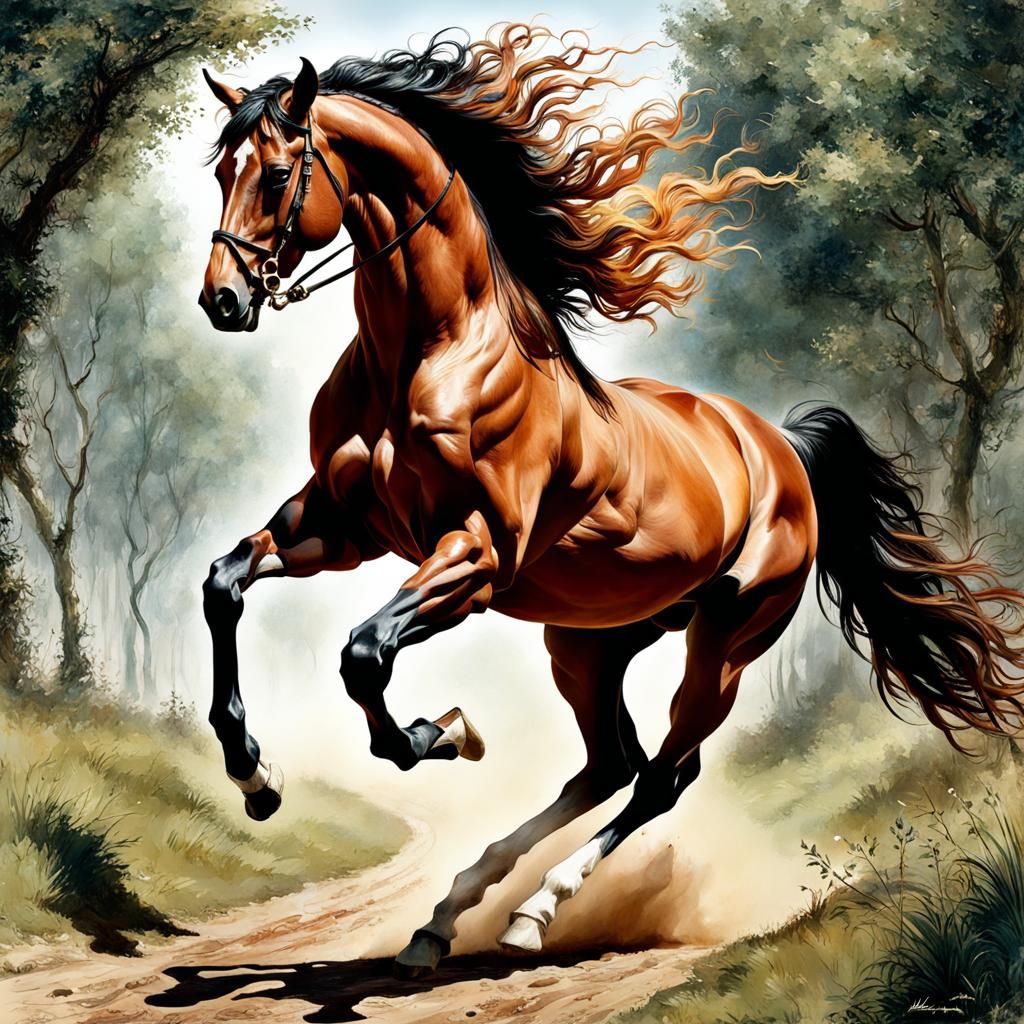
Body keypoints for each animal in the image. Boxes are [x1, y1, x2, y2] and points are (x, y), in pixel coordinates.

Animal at [197, 26, 1024, 977]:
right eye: (220, 170)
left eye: (276, 172)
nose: (222, 300)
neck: (431, 352)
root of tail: (781, 448)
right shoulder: (341, 528)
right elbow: (224, 584)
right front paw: (256, 778)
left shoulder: (476, 556)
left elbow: (365, 658)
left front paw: (446, 731)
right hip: (589, 641)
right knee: (611, 765)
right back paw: (444, 918)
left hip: (725, 640)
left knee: (663, 774)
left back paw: (532, 911)